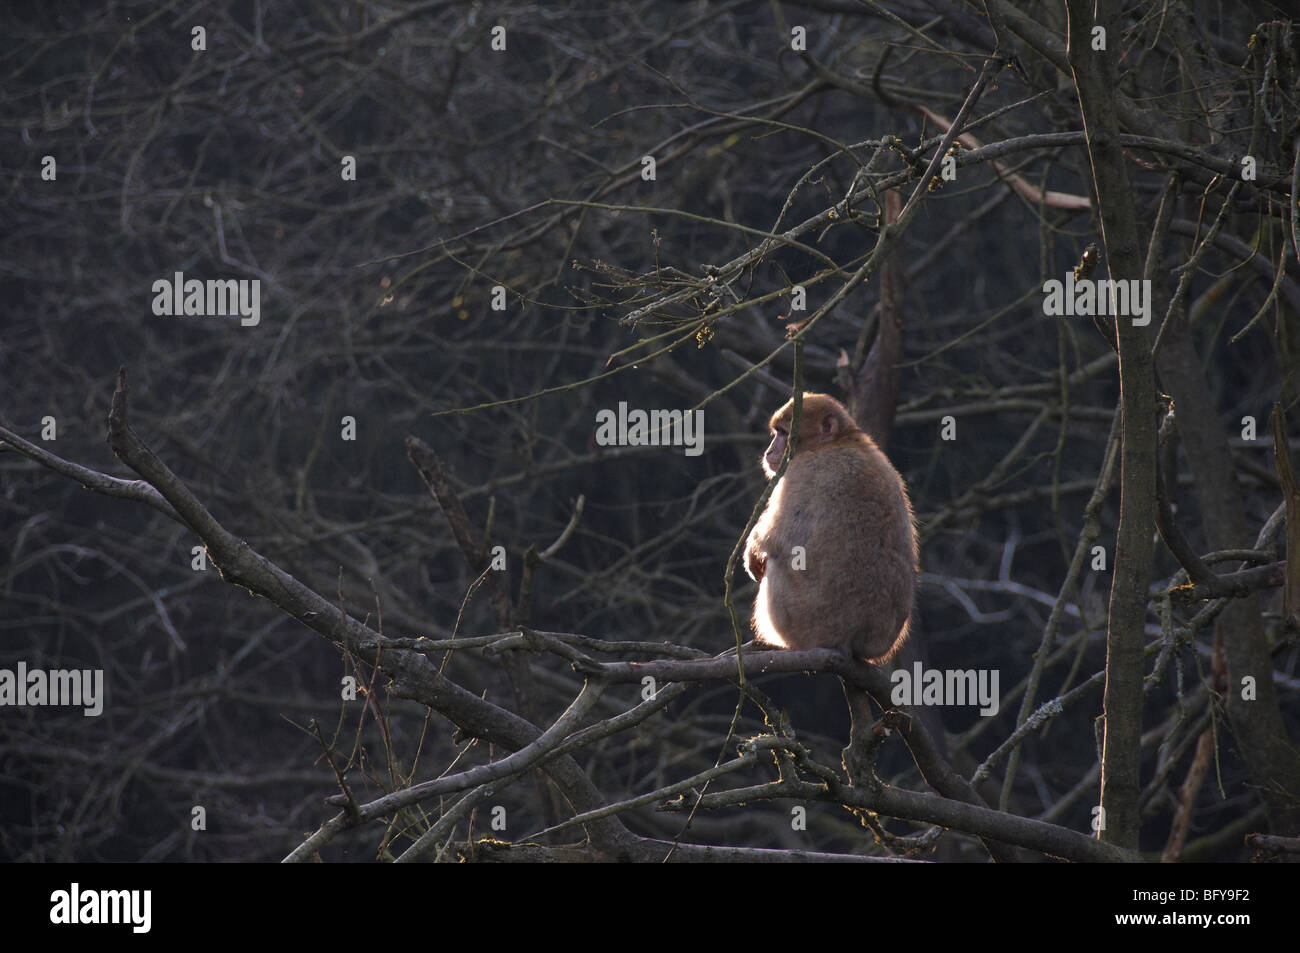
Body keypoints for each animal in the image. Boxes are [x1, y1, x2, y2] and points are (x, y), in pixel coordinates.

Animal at [744, 392, 917, 663]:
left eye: (783, 433)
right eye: (776, 433)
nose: (770, 451)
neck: (836, 441)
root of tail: (849, 641)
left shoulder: (801, 471)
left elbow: (783, 535)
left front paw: (752, 549)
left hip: (803, 619)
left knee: (777, 564)